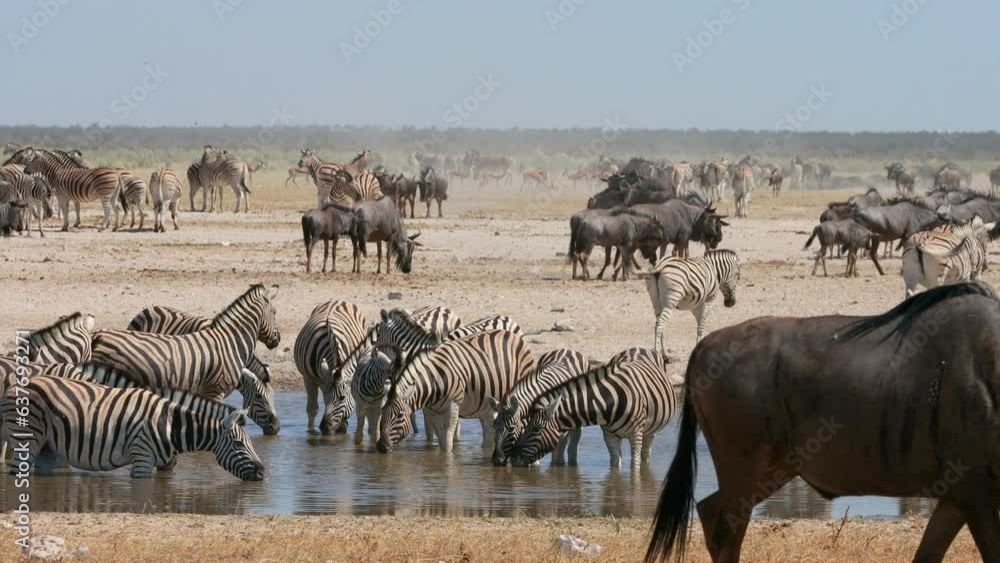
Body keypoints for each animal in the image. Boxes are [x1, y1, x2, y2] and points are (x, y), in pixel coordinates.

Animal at [0, 376, 264, 480]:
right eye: (238, 444)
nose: (263, 473)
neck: (172, 426)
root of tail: (12, 386)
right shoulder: (142, 458)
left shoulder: (163, 462)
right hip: (29, 438)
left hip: (47, 447)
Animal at [292, 300, 367, 434]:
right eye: (326, 396)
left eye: (342, 398)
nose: (325, 428)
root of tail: (337, 301)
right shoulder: (308, 379)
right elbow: (312, 409)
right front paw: (311, 432)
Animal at [377, 329, 535, 453]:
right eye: (382, 411)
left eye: (400, 415)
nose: (381, 447)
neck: (434, 381)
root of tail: (512, 335)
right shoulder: (432, 411)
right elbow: (440, 439)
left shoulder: (453, 406)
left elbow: (447, 441)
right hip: (486, 406)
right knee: (489, 434)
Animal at [509, 348, 682, 470]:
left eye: (536, 429)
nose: (513, 459)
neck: (610, 401)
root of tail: (638, 348)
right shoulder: (609, 435)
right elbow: (615, 467)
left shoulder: (636, 435)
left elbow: (635, 468)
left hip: (650, 429)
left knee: (646, 454)